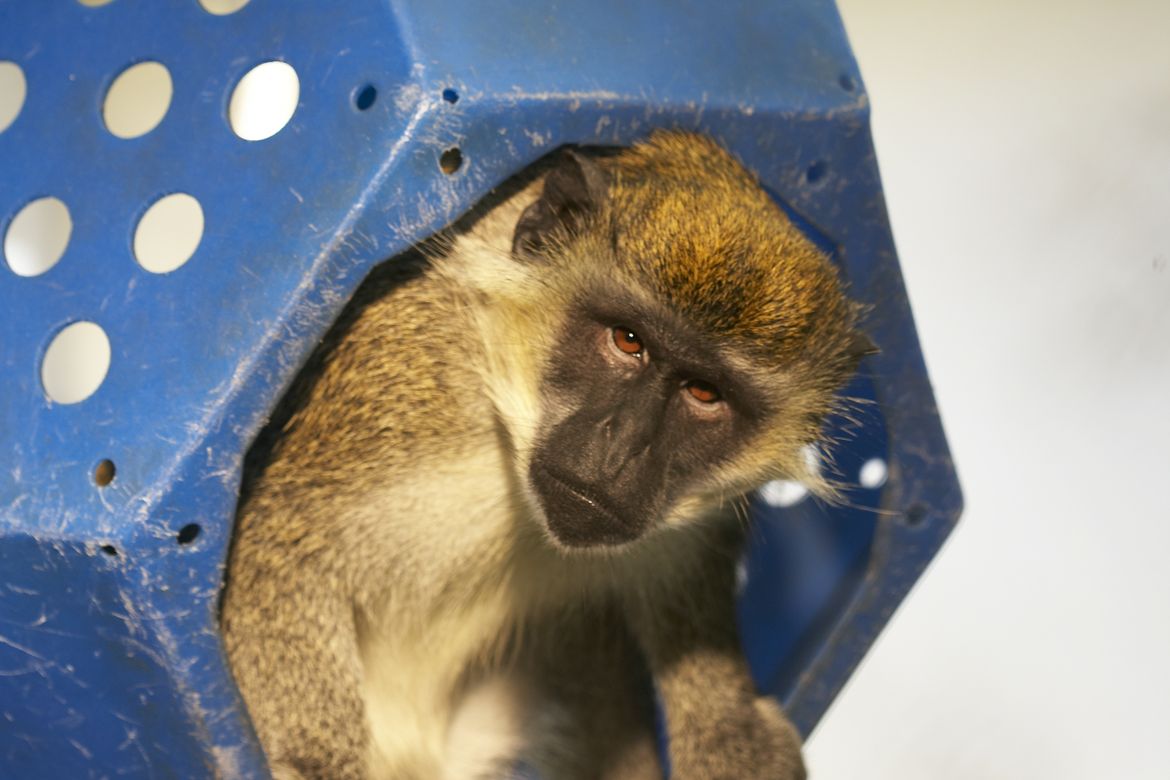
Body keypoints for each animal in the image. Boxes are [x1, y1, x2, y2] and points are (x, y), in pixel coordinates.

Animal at [220, 131, 872, 780]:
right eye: (627, 341)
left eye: (705, 393)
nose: (621, 445)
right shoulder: (403, 379)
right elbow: (276, 546)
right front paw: (314, 761)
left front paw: (730, 732)